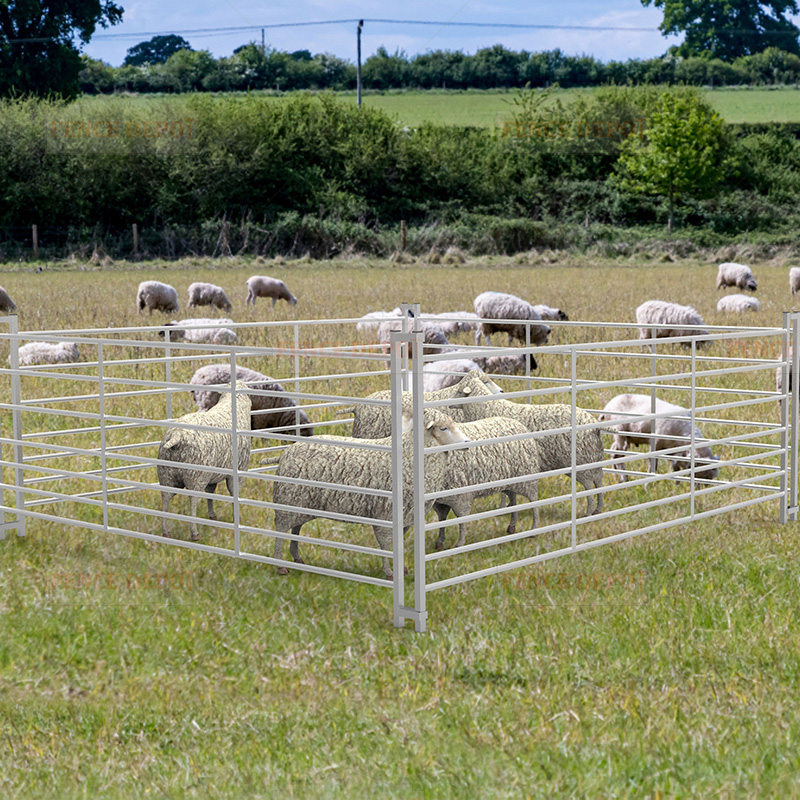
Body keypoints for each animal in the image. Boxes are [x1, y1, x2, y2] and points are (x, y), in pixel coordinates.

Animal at [157, 381, 252, 541]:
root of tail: (177, 436)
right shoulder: (238, 471)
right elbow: (234, 493)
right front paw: (237, 518)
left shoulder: (212, 474)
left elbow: (210, 492)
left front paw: (212, 515)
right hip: (195, 475)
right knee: (193, 500)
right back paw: (194, 533)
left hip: (167, 475)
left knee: (165, 498)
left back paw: (166, 532)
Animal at [271, 408, 469, 577]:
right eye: (443, 428)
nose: (467, 443)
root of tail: (287, 452)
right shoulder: (385, 513)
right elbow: (385, 544)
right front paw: (390, 573)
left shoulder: (405, 516)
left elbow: (397, 543)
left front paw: (401, 569)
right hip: (288, 501)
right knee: (281, 530)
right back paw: (280, 566)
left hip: (301, 503)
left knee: (295, 529)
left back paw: (297, 558)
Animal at [432, 416, 541, 550]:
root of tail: (517, 423)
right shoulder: (440, 501)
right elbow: (442, 520)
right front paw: (439, 542)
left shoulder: (461, 498)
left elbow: (461, 520)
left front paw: (460, 544)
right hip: (509, 482)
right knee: (513, 498)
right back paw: (512, 526)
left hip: (528, 479)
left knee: (534, 502)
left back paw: (534, 530)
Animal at [447, 370, 604, 516]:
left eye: (460, 391)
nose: (448, 403)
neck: (487, 407)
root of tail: (593, 423)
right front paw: (509, 506)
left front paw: (503, 507)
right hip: (593, 459)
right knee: (599, 481)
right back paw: (598, 509)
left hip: (582, 461)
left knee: (589, 486)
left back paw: (589, 512)